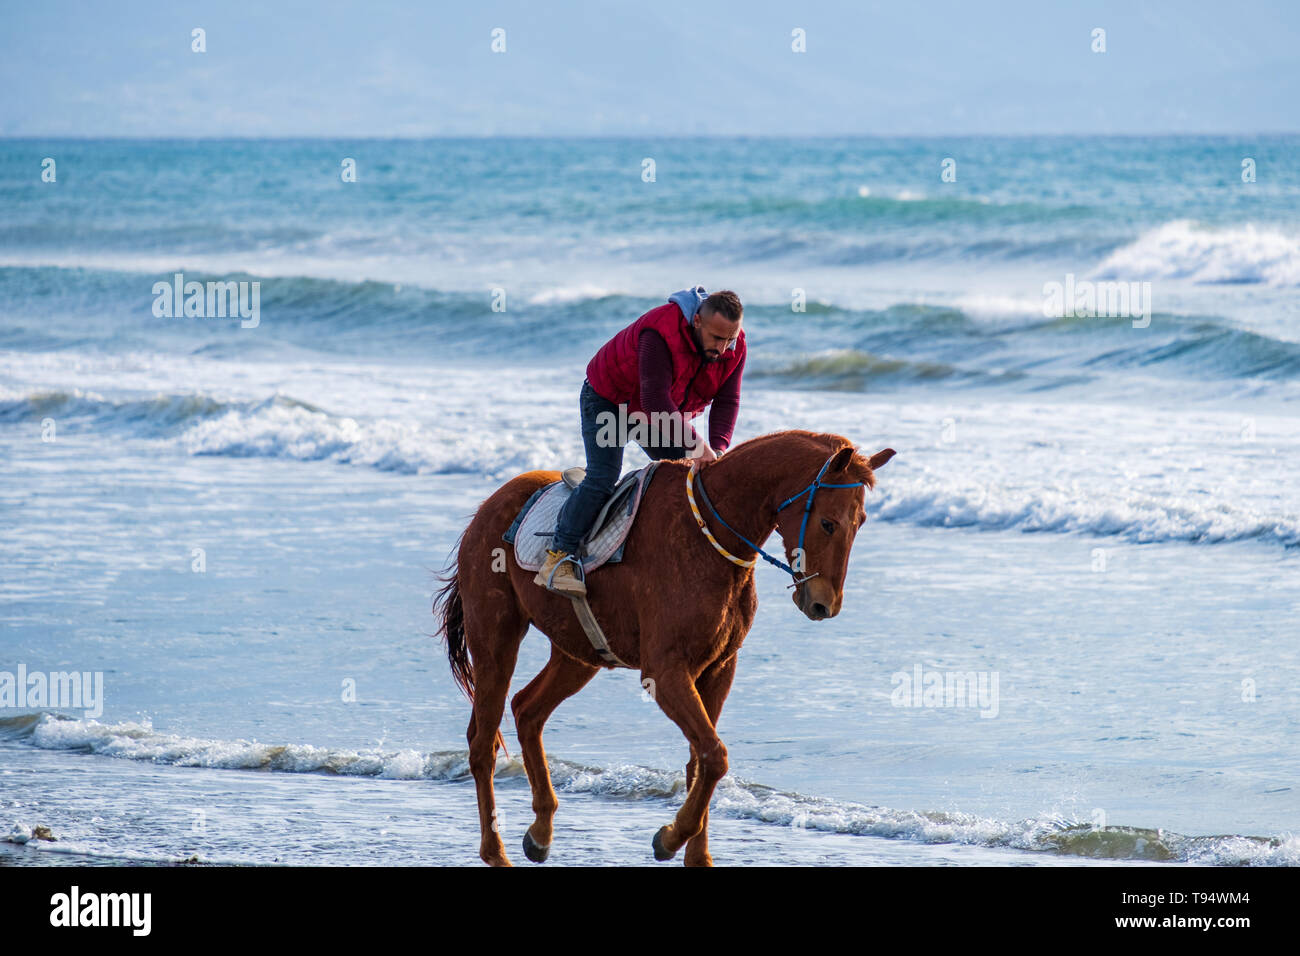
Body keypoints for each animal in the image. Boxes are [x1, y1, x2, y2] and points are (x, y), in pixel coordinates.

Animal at [433, 428, 895, 866]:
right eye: (828, 523)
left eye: (861, 521)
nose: (824, 604)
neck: (712, 535)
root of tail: (490, 505)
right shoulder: (666, 671)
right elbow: (714, 755)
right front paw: (671, 838)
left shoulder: (718, 668)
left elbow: (701, 760)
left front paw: (696, 853)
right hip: (495, 637)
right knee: (483, 742)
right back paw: (495, 850)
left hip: (579, 653)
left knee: (528, 710)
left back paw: (541, 832)